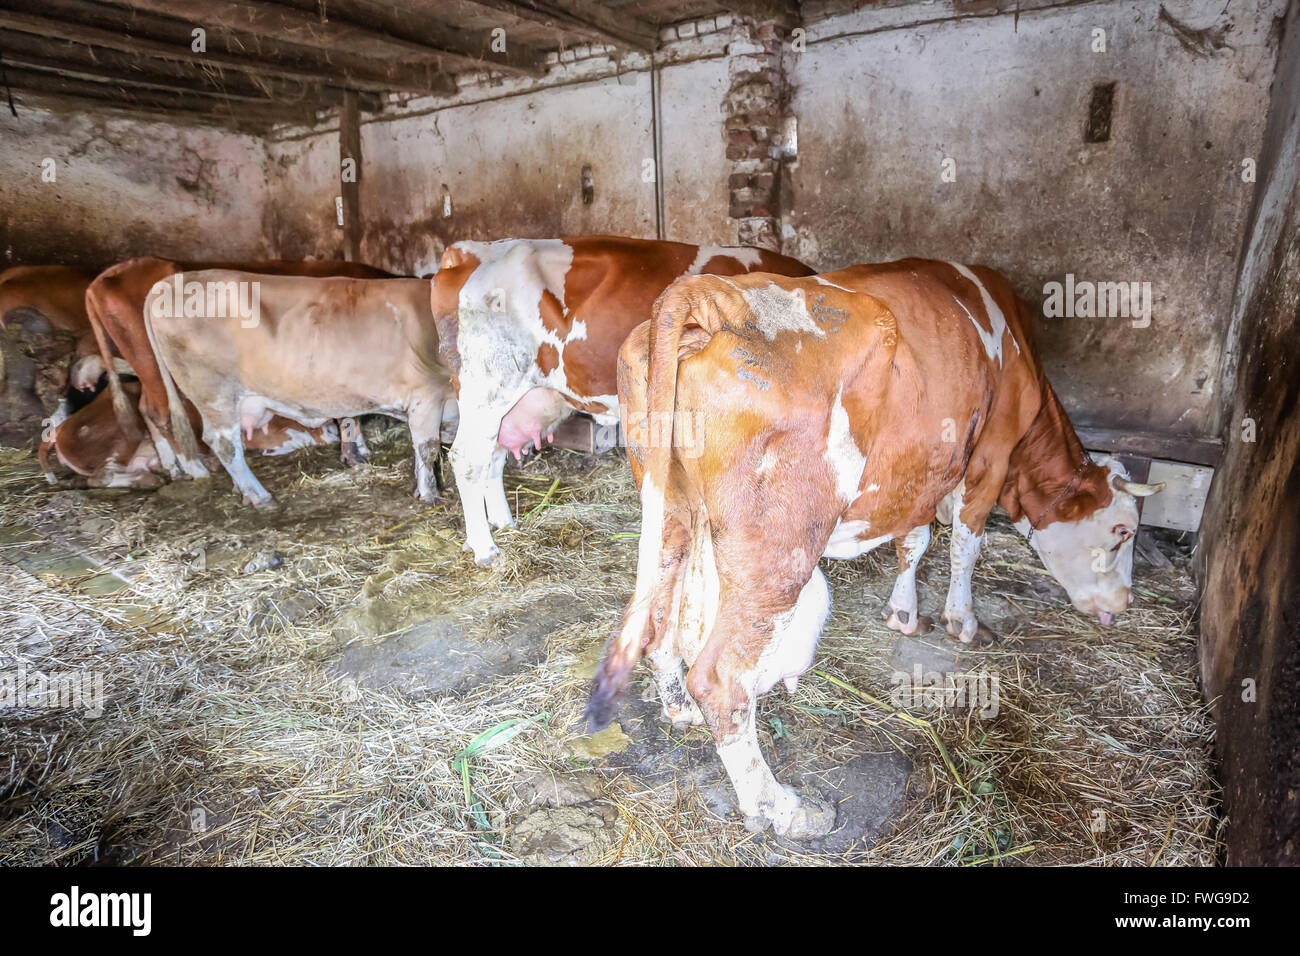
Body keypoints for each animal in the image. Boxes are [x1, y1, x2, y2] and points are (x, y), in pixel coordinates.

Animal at [85, 257, 394, 479]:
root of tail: (106, 276)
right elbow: (350, 413)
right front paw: (355, 455)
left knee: (146, 407)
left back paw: (174, 468)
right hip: (156, 366)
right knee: (163, 414)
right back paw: (197, 470)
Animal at [144, 272, 456, 508]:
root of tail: (169, 282)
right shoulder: (426, 395)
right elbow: (427, 448)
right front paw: (429, 495)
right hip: (214, 393)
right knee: (223, 442)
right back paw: (259, 496)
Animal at [429, 235, 815, 566]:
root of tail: (468, 251)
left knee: (492, 458)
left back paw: (504, 524)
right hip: (487, 386)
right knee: (467, 459)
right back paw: (485, 548)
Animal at [585, 260, 1164, 839]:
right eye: (1123, 531)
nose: (1125, 603)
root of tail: (715, 297)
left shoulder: (921, 472)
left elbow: (915, 538)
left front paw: (904, 612)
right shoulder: (989, 458)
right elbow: (965, 543)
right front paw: (961, 620)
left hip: (671, 507)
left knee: (660, 619)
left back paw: (678, 706)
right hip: (777, 550)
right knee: (723, 679)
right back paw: (779, 806)